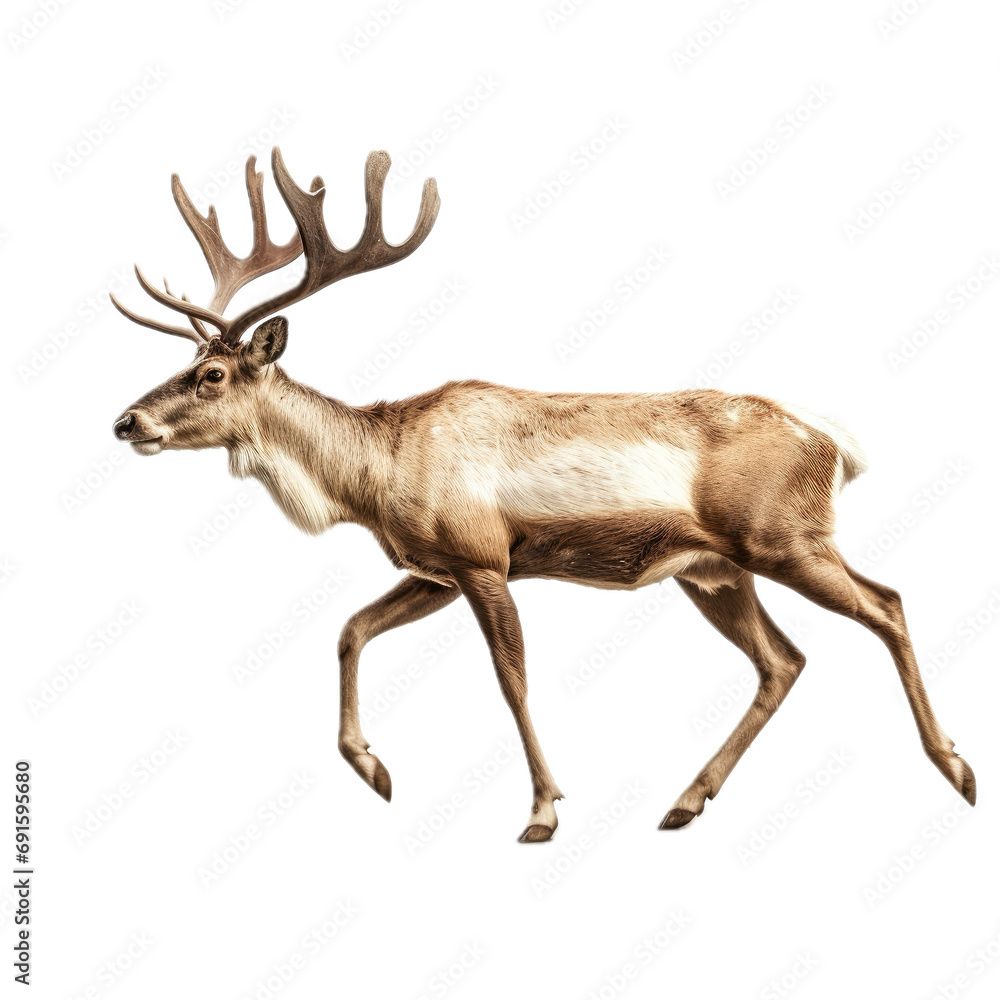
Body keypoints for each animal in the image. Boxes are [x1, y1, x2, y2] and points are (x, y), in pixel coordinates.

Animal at [110, 147, 976, 843]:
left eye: (210, 374)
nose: (126, 421)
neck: (375, 473)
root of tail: (836, 446)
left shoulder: (483, 558)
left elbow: (511, 678)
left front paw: (542, 811)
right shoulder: (435, 570)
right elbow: (351, 631)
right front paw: (375, 769)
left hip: (786, 540)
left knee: (887, 604)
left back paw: (956, 769)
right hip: (715, 572)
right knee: (784, 660)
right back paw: (685, 802)